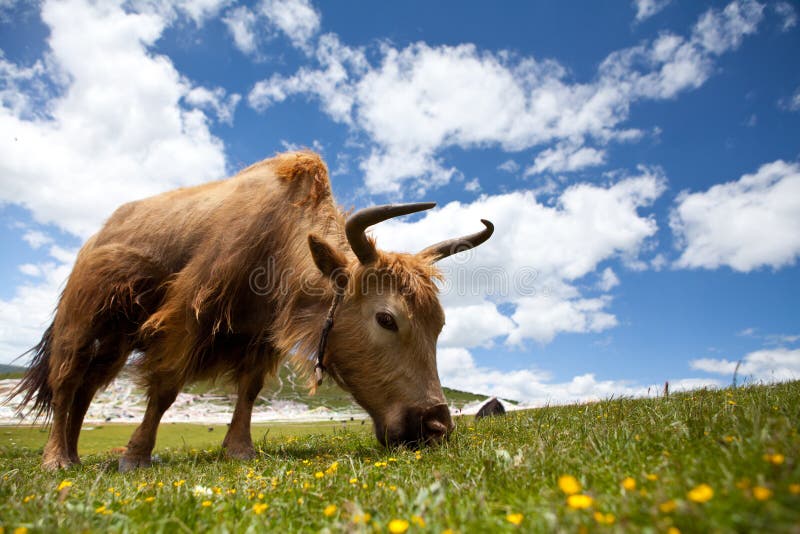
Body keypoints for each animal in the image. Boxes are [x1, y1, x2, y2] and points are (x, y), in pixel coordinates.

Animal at [10, 151, 494, 471]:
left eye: (440, 325)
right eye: (386, 318)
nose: (435, 426)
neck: (278, 237)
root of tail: (98, 235)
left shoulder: (259, 337)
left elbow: (249, 391)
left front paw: (239, 449)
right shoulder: (186, 317)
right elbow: (165, 388)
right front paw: (135, 455)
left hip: (113, 343)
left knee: (85, 391)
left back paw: (74, 454)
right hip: (81, 323)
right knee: (67, 383)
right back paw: (57, 460)